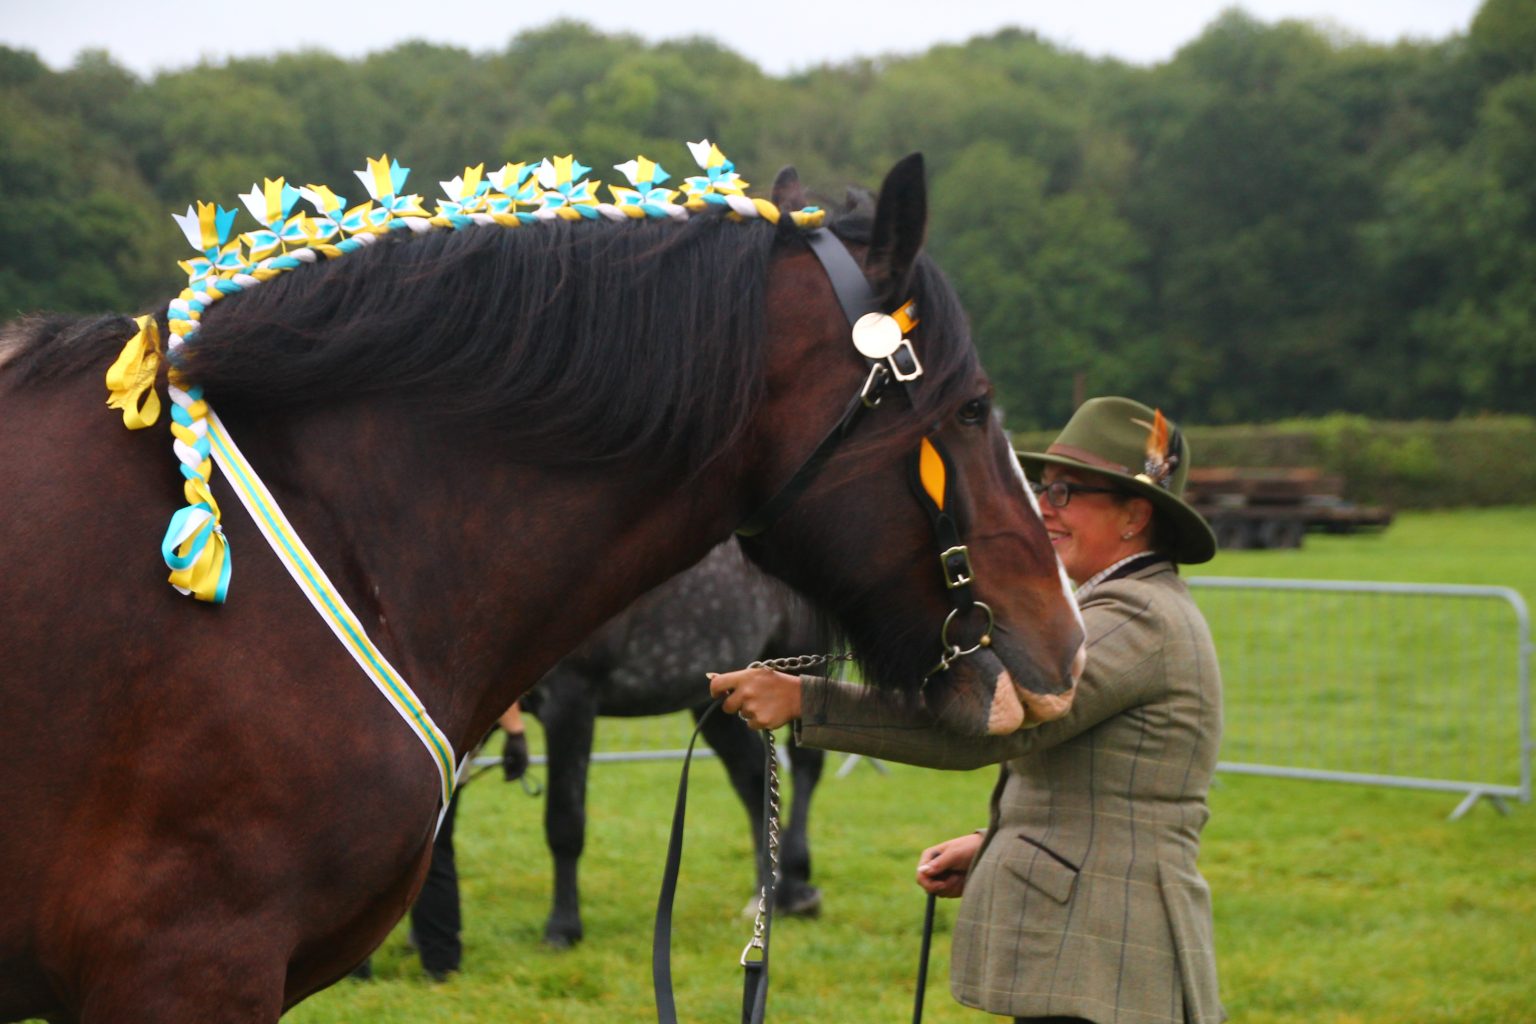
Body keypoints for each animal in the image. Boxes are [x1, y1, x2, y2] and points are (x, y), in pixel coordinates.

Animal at [518, 538, 830, 948]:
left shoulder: (570, 699)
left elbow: (564, 821)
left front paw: (563, 927)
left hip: (803, 662)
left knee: (806, 768)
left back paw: (796, 883)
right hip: (723, 697)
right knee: (753, 780)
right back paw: (767, 895)